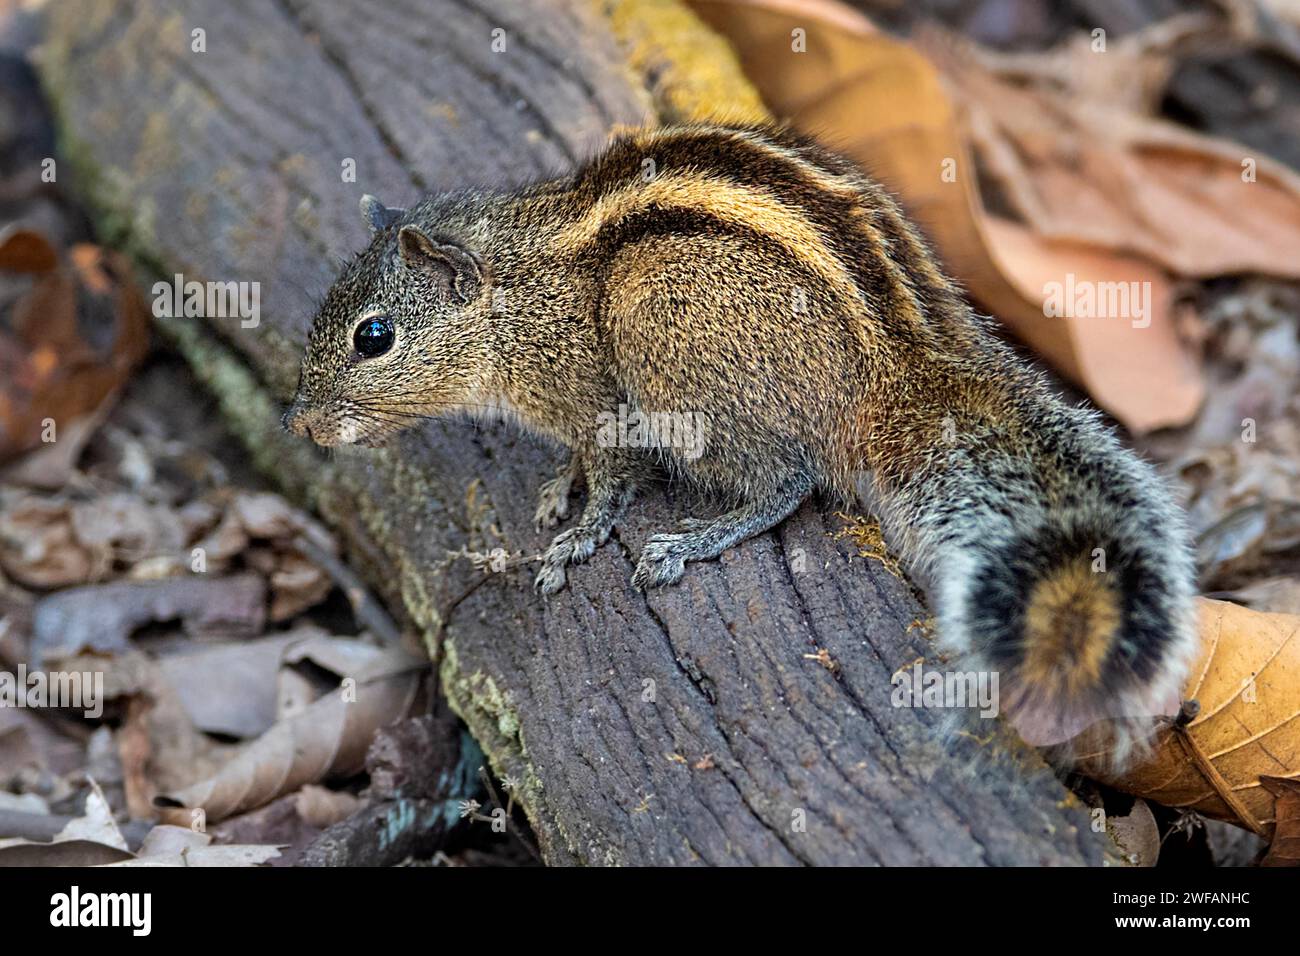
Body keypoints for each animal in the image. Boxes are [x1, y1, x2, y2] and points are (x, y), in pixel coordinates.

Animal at [284, 121, 1198, 750]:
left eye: (374, 336)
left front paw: (581, 536)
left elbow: (614, 480)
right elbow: (578, 464)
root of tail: (900, 371)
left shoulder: (603, 397)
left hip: (661, 327)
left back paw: (697, 539)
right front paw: (555, 486)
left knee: (787, 483)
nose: (302, 422)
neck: (517, 293)